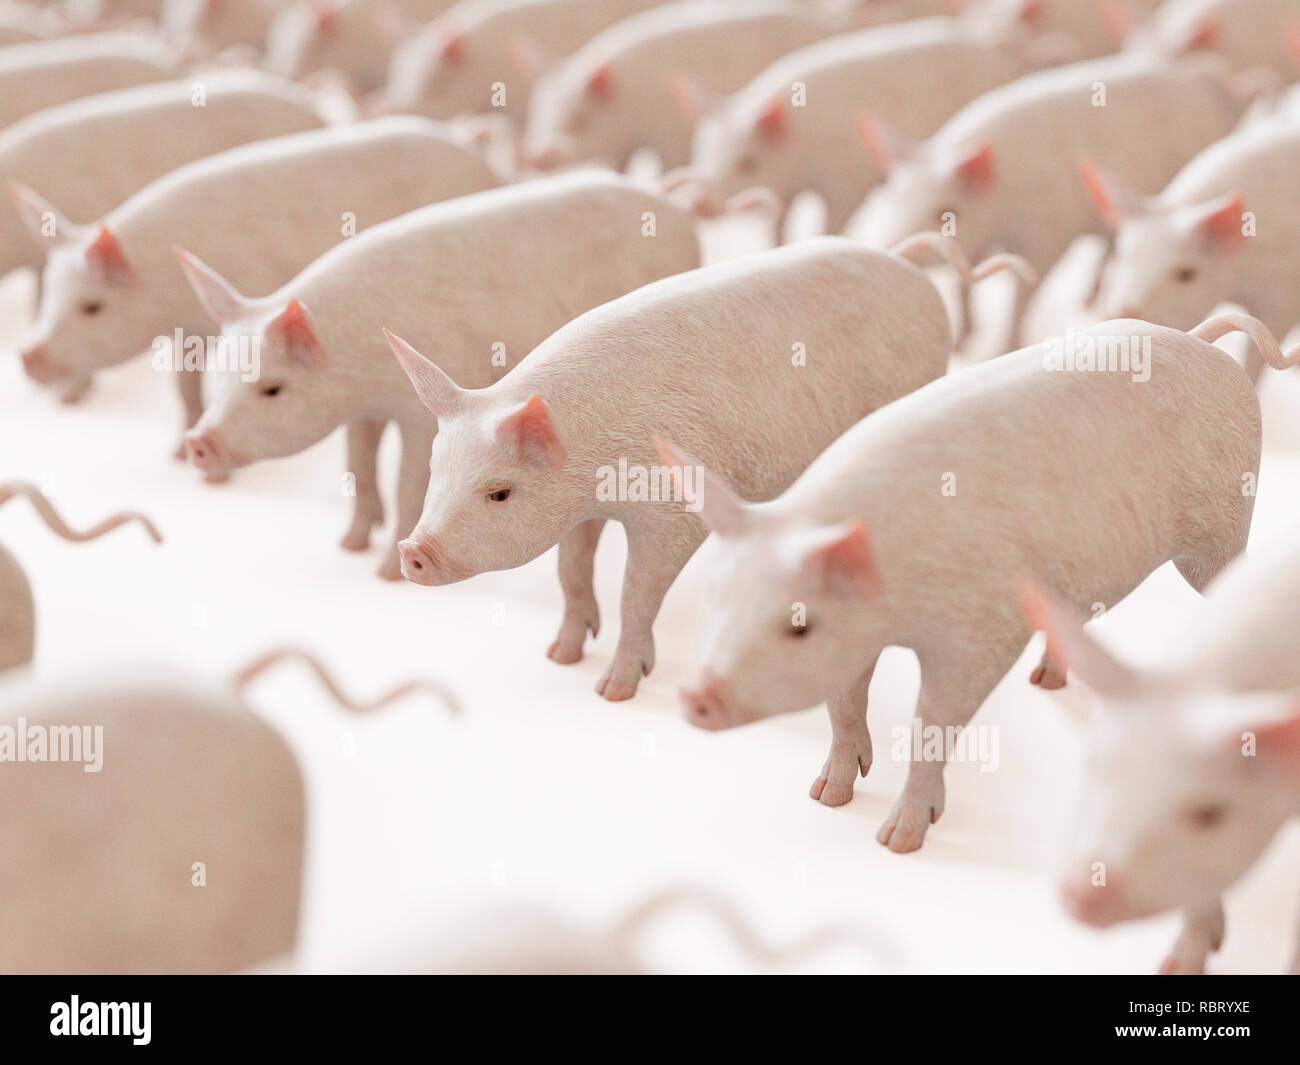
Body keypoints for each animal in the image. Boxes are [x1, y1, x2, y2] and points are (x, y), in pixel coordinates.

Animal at [12, 117, 501, 488]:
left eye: (92, 307)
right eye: (49, 294)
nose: (27, 356)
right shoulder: (193, 329)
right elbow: (186, 387)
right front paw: (174, 454)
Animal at [178, 170, 701, 579]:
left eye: (271, 388)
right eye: (219, 374)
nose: (197, 443)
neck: (359, 362)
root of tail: (674, 210)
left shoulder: (416, 415)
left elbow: (407, 482)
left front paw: (383, 573)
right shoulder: (364, 410)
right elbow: (359, 464)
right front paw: (349, 546)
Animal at [387, 234, 1032, 699]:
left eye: (499, 493)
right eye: (435, 470)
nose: (412, 552)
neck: (592, 465)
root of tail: (903, 260)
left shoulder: (672, 517)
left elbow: (637, 591)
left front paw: (612, 690)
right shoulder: (580, 509)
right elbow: (571, 572)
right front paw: (561, 656)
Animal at [670, 313, 1295, 852]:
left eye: (798, 625)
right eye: (717, 600)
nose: (696, 694)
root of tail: (1200, 341)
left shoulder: (980, 634)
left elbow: (933, 722)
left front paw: (896, 842)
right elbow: (843, 705)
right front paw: (825, 798)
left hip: (1224, 527)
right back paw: (1044, 682)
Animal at [845, 52, 1243, 349]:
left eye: (946, 210)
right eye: (889, 195)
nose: (891, 243)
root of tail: (1191, 82)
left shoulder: (1045, 240)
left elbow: (1021, 298)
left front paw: (1001, 348)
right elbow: (962, 282)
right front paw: (963, 341)